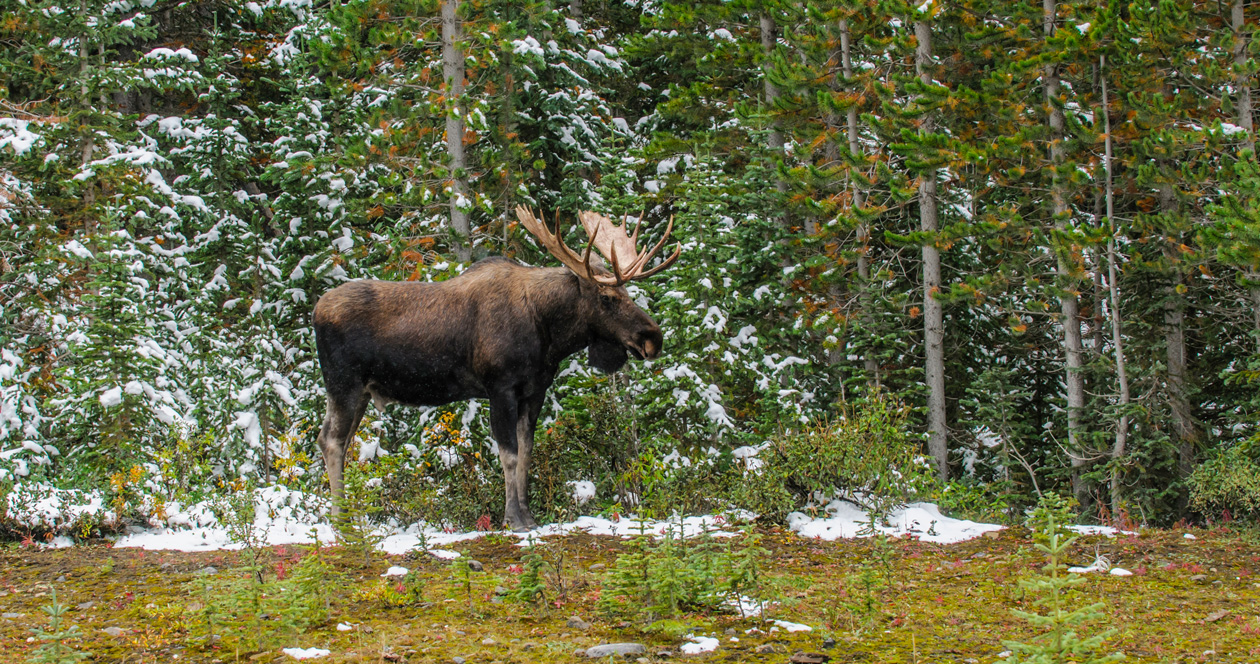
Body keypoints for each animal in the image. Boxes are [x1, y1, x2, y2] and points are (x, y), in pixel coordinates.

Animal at [312, 206, 680, 531]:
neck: (548, 331)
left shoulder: (534, 391)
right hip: (343, 384)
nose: (653, 338)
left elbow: (527, 453)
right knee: (331, 440)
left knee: (338, 440)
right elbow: (509, 455)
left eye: (626, 292)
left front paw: (529, 517)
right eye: (607, 298)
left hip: (361, 391)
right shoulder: (500, 387)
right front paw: (513, 520)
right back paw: (343, 525)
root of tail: (316, 311)